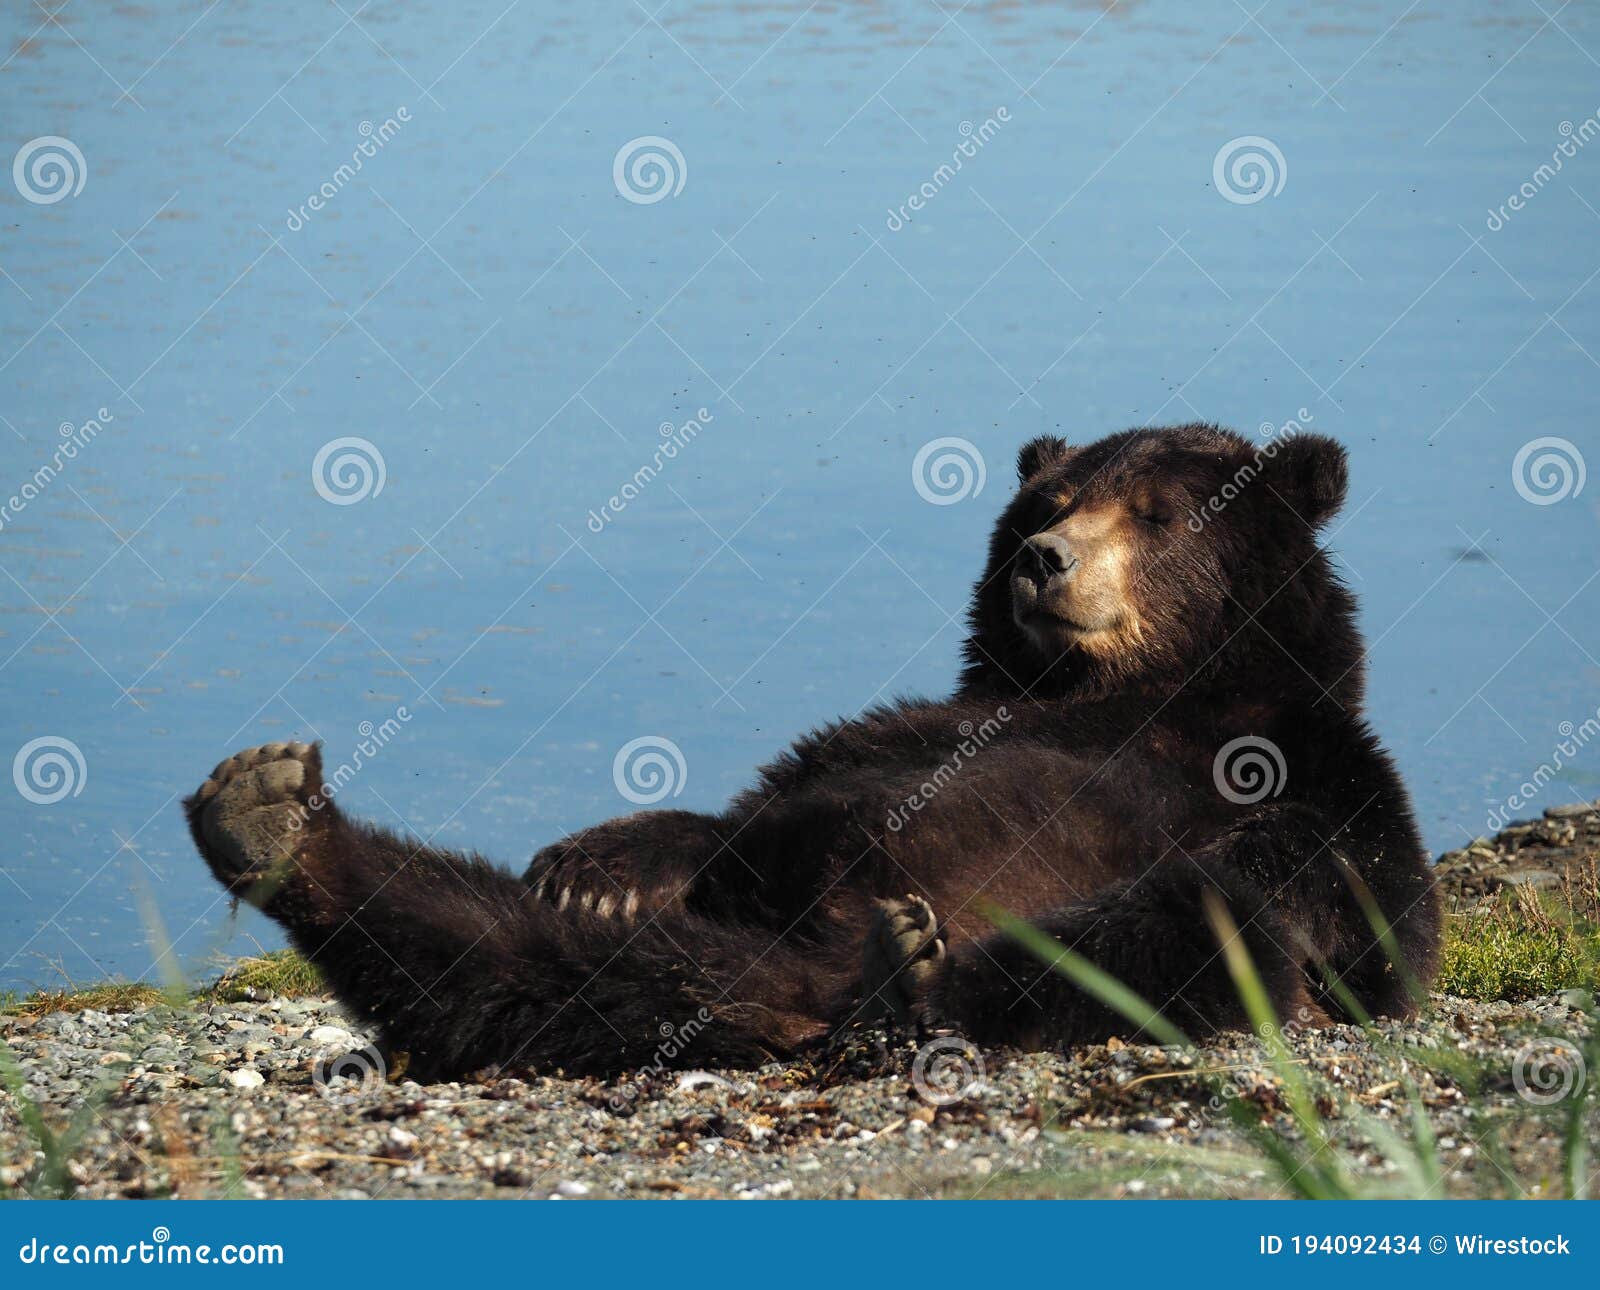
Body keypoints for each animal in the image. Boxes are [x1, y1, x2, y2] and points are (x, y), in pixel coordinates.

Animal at [185, 423, 1440, 1079]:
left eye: (1158, 513)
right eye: (1052, 497)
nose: (1043, 560)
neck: (1142, 688)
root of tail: (807, 978)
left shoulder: (1307, 777)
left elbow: (1338, 911)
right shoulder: (929, 721)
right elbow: (769, 794)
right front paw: (595, 862)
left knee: (1189, 918)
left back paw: (918, 974)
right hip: (696, 950)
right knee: (504, 953)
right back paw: (270, 820)